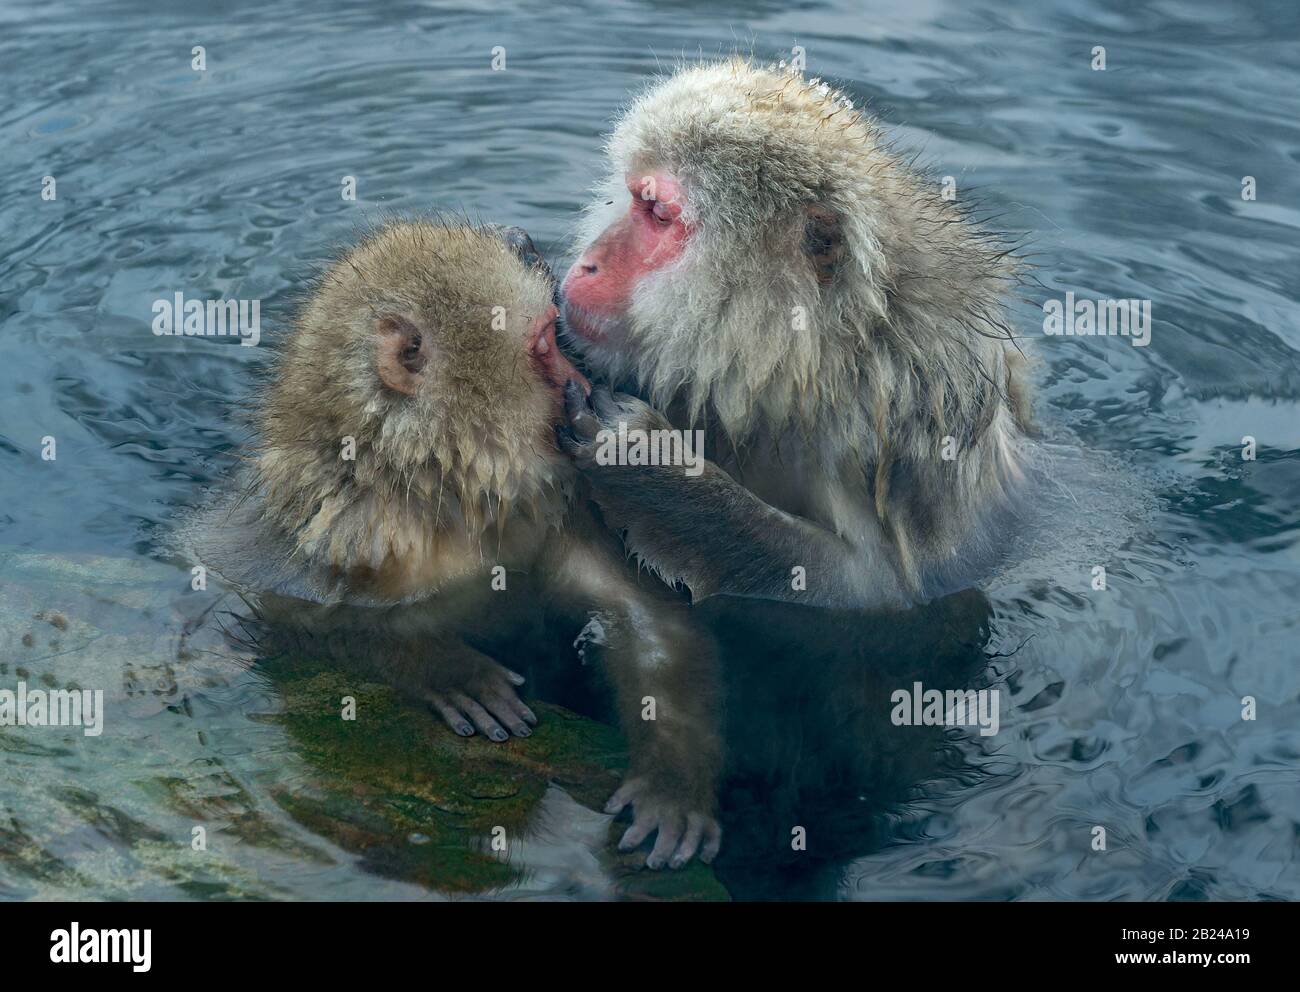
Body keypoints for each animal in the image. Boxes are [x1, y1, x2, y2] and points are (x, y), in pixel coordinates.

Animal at [179, 220, 722, 868]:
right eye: (546, 345)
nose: (587, 385)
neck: (436, 486)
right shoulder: (329, 541)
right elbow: (285, 618)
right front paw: (443, 667)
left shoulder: (544, 510)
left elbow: (639, 614)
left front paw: (671, 786)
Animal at [557, 58, 1035, 610]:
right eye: (634, 195)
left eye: (657, 213)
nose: (587, 264)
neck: (820, 362)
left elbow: (876, 590)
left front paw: (645, 461)